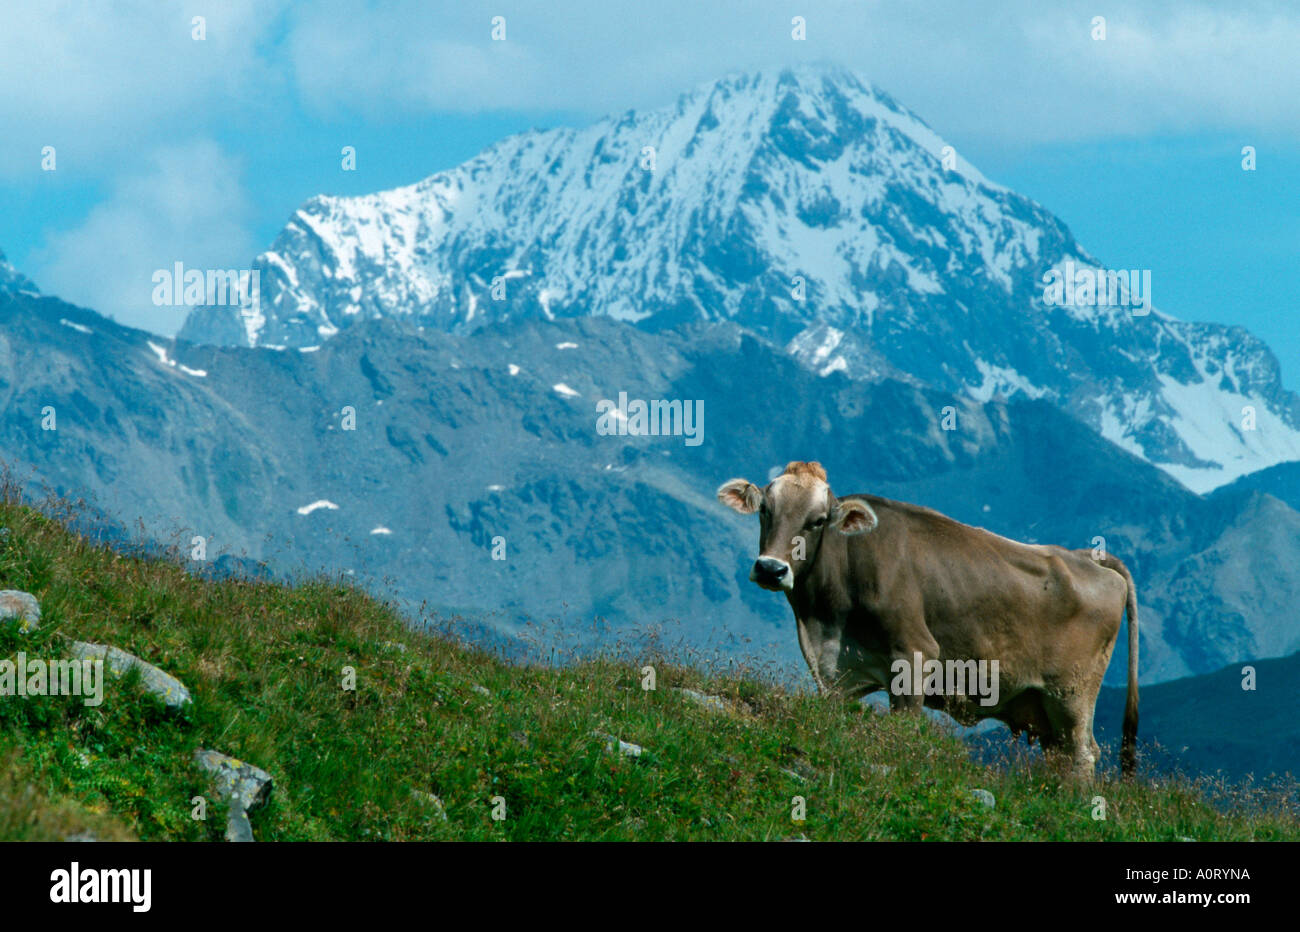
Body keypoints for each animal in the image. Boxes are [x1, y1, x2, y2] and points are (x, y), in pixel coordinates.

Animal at [717, 461, 1139, 780]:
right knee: (1062, 757)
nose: (771, 569)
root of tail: (1087, 556)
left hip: (1071, 694)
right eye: (765, 510)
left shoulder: (915, 654)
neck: (825, 622)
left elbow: (904, 729)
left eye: (817, 520)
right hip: (1047, 708)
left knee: (1081, 755)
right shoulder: (838, 673)